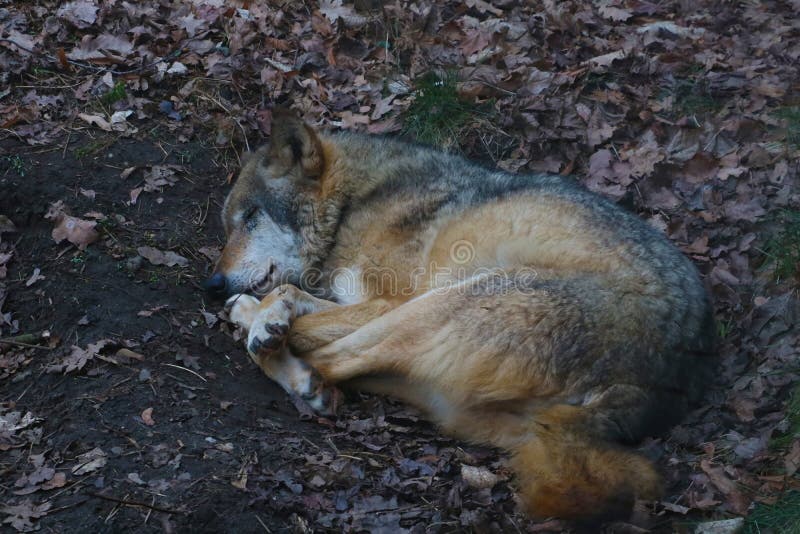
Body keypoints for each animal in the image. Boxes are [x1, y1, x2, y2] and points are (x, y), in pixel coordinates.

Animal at [205, 110, 716, 521]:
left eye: (251, 217)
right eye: (229, 226)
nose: (212, 285)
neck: (354, 202)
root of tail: (665, 377)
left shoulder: (386, 300)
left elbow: (290, 294)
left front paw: (266, 317)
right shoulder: (359, 299)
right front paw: (253, 310)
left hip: (438, 305)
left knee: (325, 359)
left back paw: (286, 357)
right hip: (444, 391)